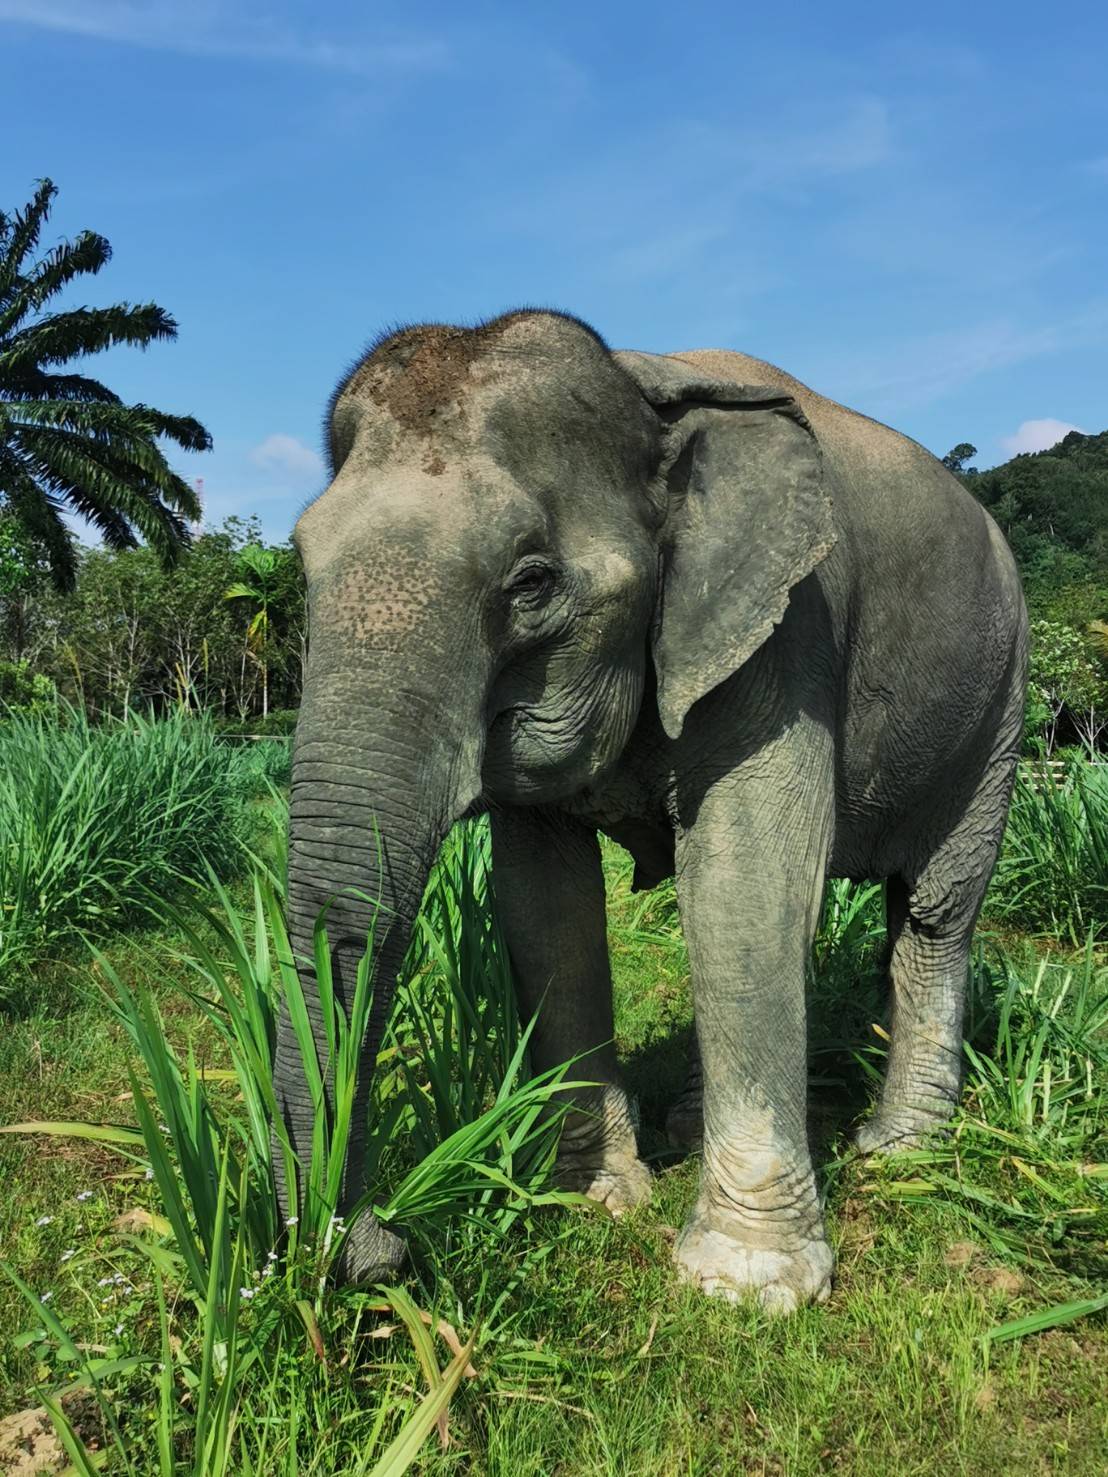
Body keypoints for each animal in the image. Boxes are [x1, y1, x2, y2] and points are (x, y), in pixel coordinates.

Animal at [274, 308, 1027, 1313]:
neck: (642, 389)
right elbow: (545, 908)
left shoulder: (790, 630)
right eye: (301, 563)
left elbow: (744, 883)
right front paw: (592, 1197)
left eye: (531, 582)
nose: (384, 1249)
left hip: (1000, 705)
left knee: (938, 912)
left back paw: (899, 1148)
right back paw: (695, 1123)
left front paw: (744, 1284)